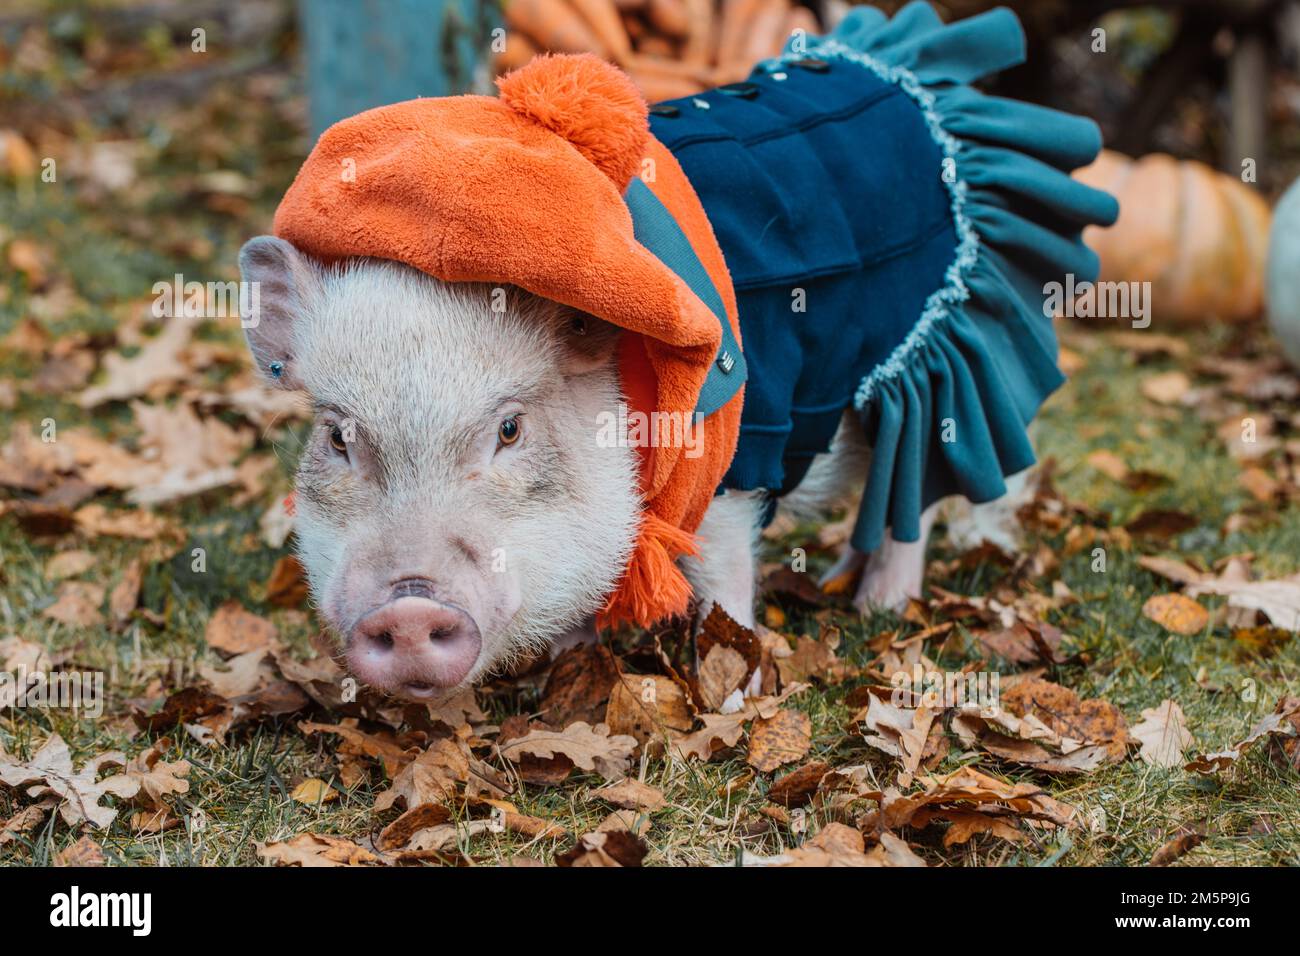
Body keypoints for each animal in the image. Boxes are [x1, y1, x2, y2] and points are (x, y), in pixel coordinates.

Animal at [238, 236, 940, 701]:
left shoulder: (726, 484)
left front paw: (731, 702)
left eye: (510, 429)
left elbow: (725, 580)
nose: (408, 607)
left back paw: (879, 604)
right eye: (337, 436)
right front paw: (565, 665)